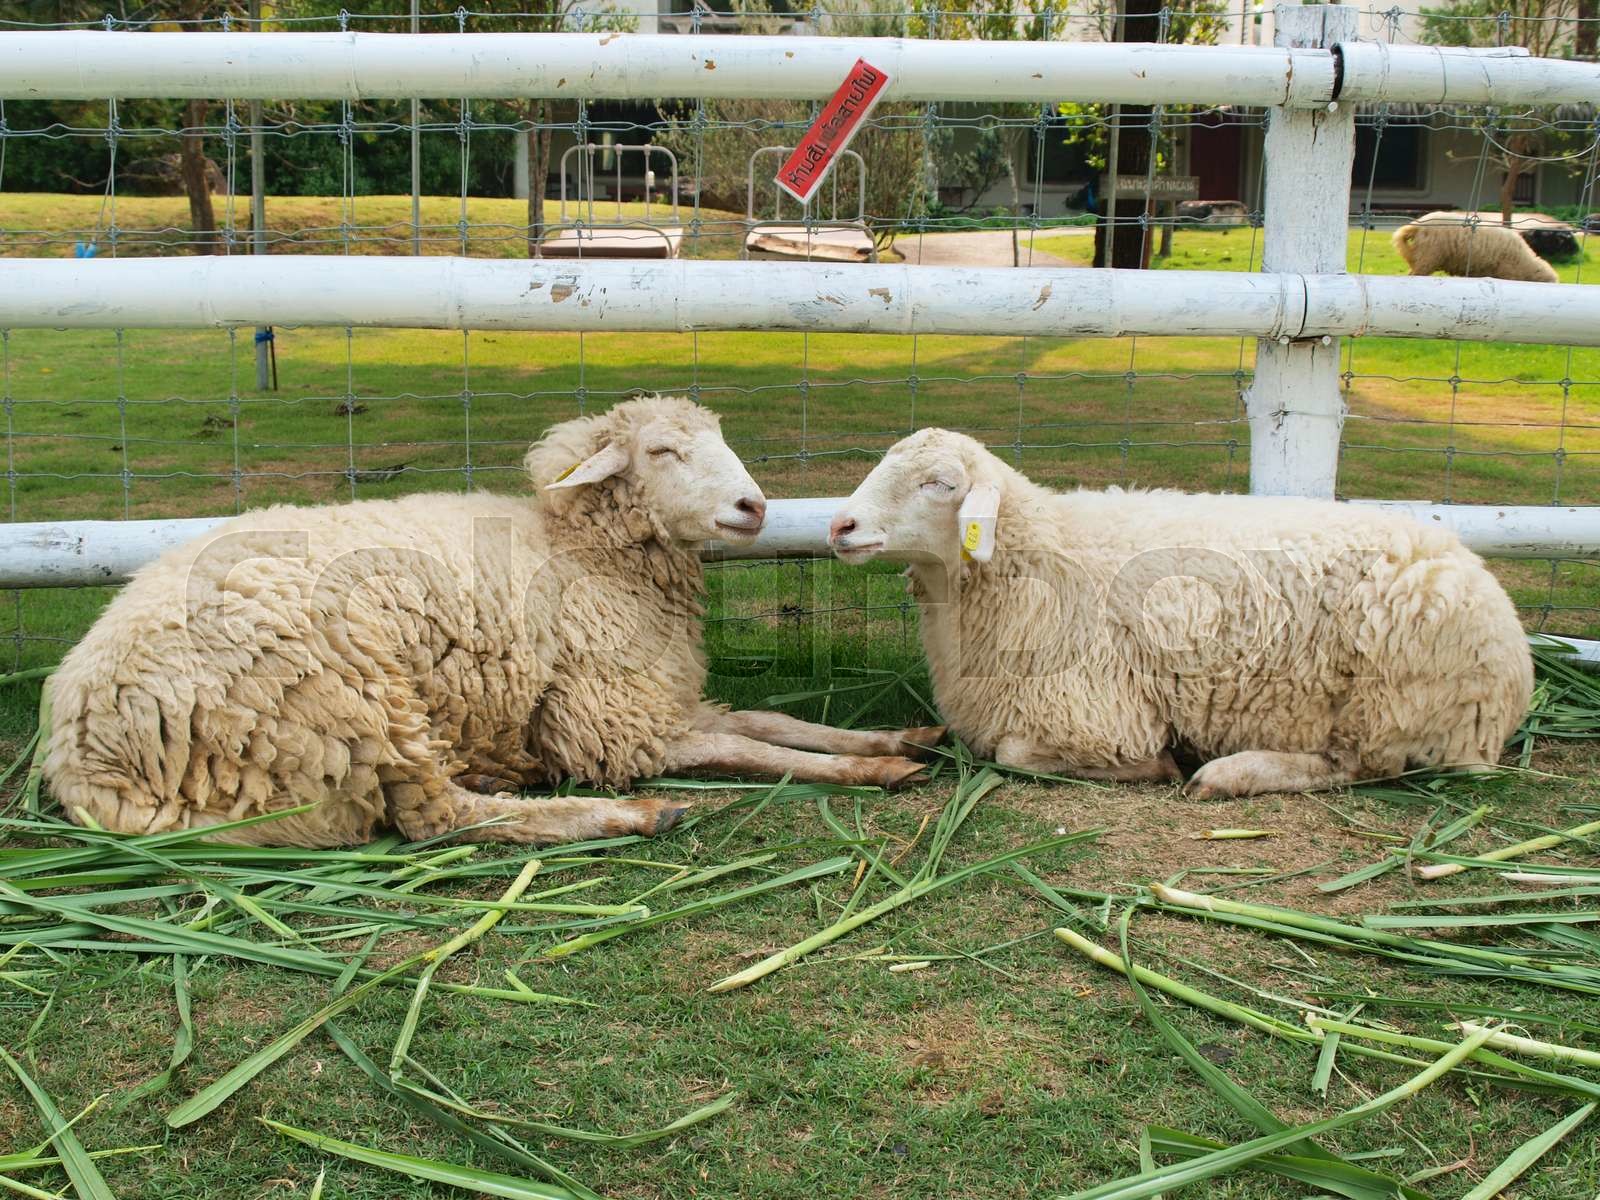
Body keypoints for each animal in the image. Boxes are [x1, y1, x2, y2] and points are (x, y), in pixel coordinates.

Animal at [43, 397, 940, 848]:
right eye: (660, 452)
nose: (755, 507)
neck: (584, 552)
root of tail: (83, 748)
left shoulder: (659, 696)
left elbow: (766, 719)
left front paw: (897, 737)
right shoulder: (605, 725)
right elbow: (752, 749)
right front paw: (876, 770)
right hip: (343, 700)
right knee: (436, 818)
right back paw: (631, 816)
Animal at [826, 429, 1532, 798]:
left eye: (940, 484)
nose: (840, 525)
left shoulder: (1094, 709)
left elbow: (1017, 752)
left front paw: (1158, 765)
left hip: (1389, 703)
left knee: (1356, 768)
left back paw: (1229, 773)